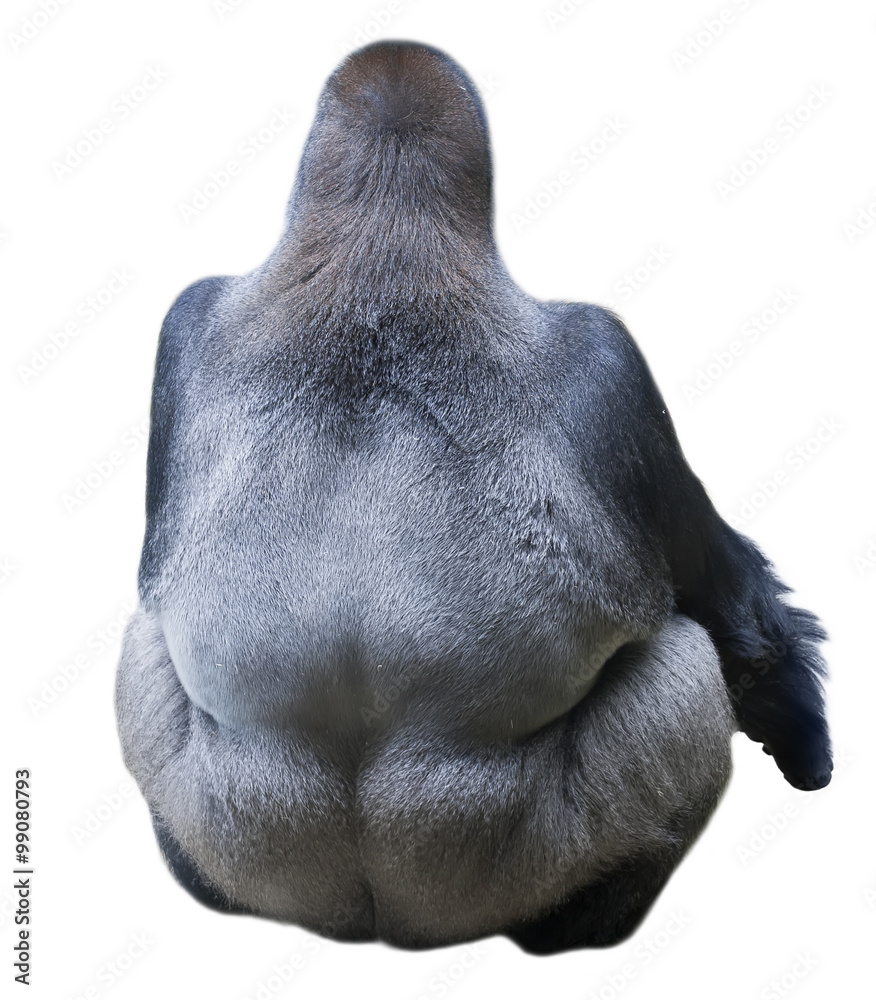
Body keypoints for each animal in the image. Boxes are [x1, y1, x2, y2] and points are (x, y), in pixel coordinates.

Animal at [115, 40, 832, 955]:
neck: (381, 255)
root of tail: (386, 931)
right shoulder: (610, 355)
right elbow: (743, 625)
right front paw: (806, 741)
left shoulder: (184, 315)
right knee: (689, 669)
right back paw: (599, 914)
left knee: (141, 647)